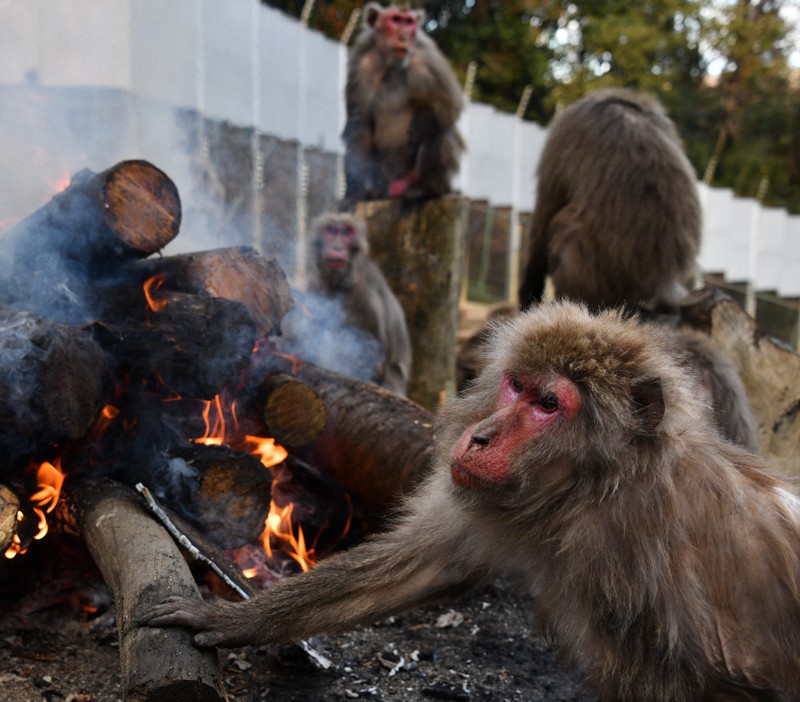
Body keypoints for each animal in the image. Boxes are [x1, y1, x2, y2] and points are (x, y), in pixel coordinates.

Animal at [144, 301, 800, 701]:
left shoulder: (639, 542)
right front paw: (235, 619)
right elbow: (431, 569)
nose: (481, 436)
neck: (591, 488)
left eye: (548, 404)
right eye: (516, 384)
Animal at [278, 212, 411, 395]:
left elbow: (368, 351)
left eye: (346, 233)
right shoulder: (316, 284)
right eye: (331, 231)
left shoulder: (363, 292)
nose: (337, 246)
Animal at [342, 3, 465, 205]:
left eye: (409, 22)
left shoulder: (428, 55)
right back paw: (374, 192)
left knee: (442, 133)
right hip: (384, 179)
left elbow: (450, 104)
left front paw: (422, 121)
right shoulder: (360, 60)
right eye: (395, 20)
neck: (392, 62)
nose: (404, 35)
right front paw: (353, 194)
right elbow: (360, 122)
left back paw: (423, 189)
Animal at [518, 87, 701, 313]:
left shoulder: (567, 127)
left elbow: (545, 215)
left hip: (595, 278)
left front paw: (528, 292)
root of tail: (660, 282)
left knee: (563, 227)